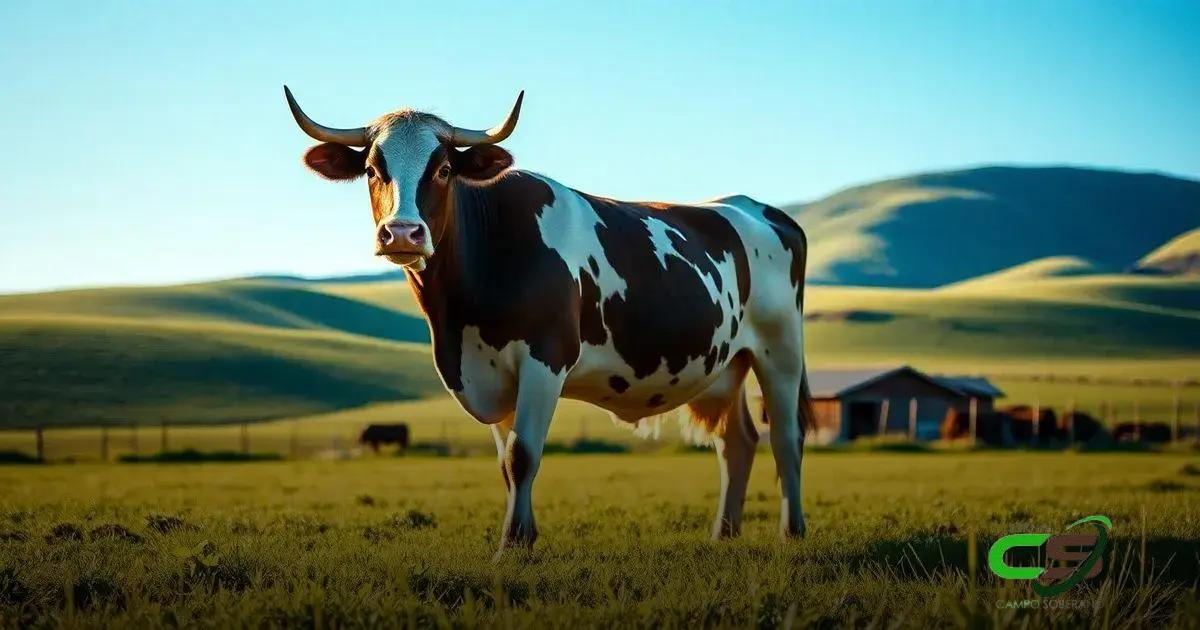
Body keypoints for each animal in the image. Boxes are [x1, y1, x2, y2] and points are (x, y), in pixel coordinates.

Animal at [283, 87, 814, 555]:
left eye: (445, 168)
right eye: (373, 169)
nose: (401, 233)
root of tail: (756, 207)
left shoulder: (545, 359)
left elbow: (523, 456)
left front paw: (511, 547)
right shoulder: (488, 372)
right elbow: (505, 463)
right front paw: (524, 538)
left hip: (780, 351)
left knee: (786, 437)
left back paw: (792, 532)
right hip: (725, 364)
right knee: (737, 442)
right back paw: (723, 534)